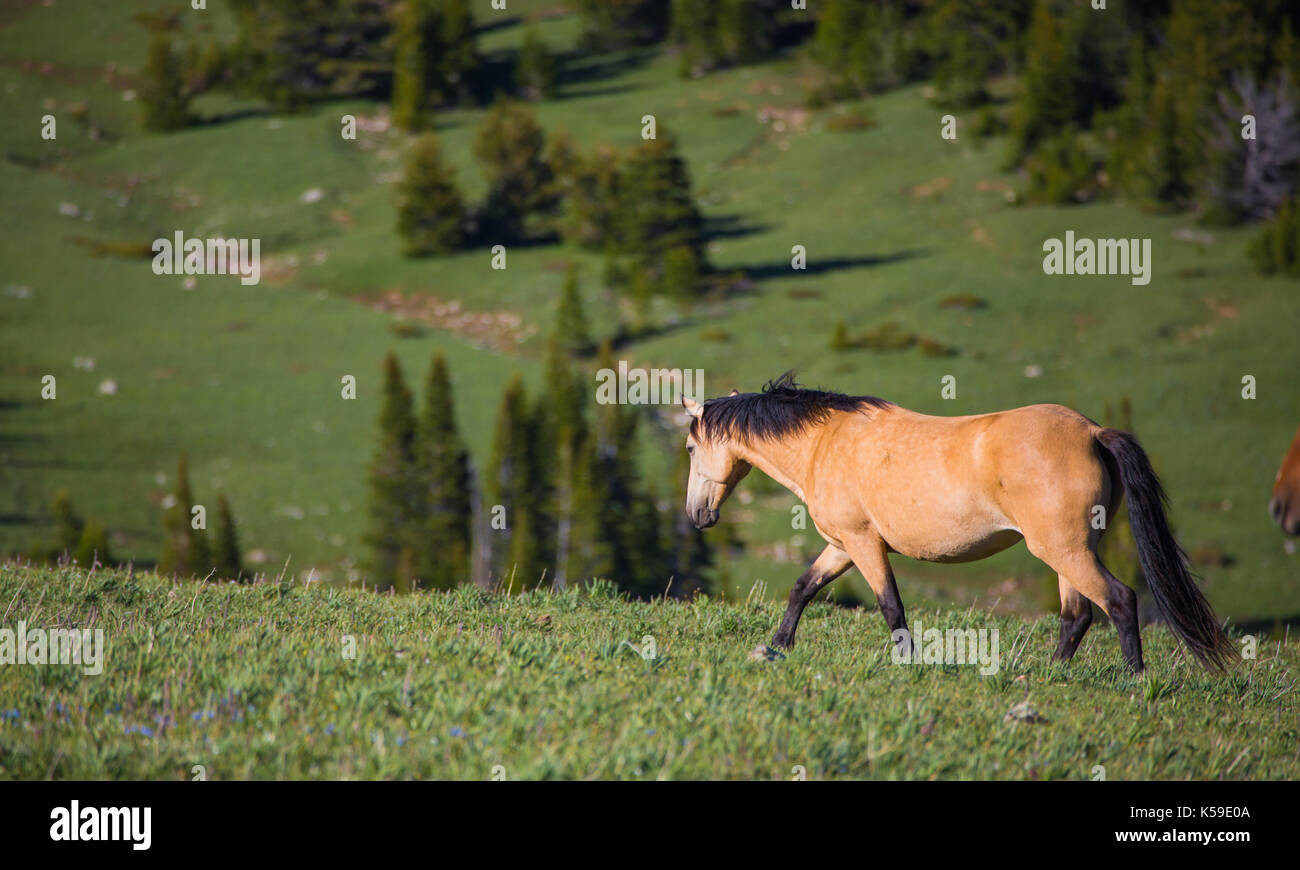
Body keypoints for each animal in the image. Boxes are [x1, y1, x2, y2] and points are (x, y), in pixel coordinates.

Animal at [681, 373, 1233, 674]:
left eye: (688, 448)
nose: (697, 515)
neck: (825, 443)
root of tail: (1092, 432)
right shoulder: (842, 545)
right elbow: (802, 588)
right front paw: (778, 645)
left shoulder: (863, 544)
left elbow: (891, 607)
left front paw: (906, 664)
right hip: (1069, 551)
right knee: (1076, 616)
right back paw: (1052, 675)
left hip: (1065, 551)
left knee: (1118, 601)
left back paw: (1135, 679)